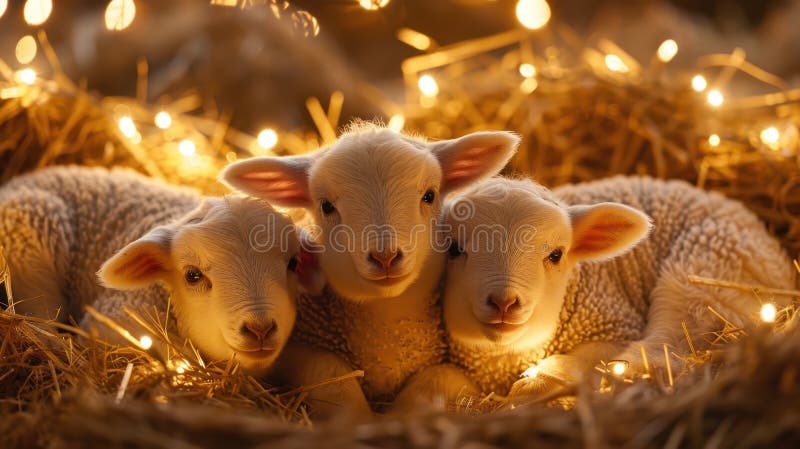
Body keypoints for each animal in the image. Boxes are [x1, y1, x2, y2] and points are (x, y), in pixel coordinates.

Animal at [0, 166, 317, 375]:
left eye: (293, 263)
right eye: (193, 275)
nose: (259, 329)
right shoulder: (111, 319)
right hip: (30, 251)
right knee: (36, 321)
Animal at [220, 123, 520, 415]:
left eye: (429, 196)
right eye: (326, 206)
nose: (385, 257)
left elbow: (436, 379)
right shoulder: (292, 352)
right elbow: (332, 373)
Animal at [432, 176, 796, 400]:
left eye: (556, 255)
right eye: (454, 248)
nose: (504, 302)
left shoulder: (616, 325)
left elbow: (579, 362)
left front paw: (530, 388)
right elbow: (440, 380)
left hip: (701, 274)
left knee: (668, 350)